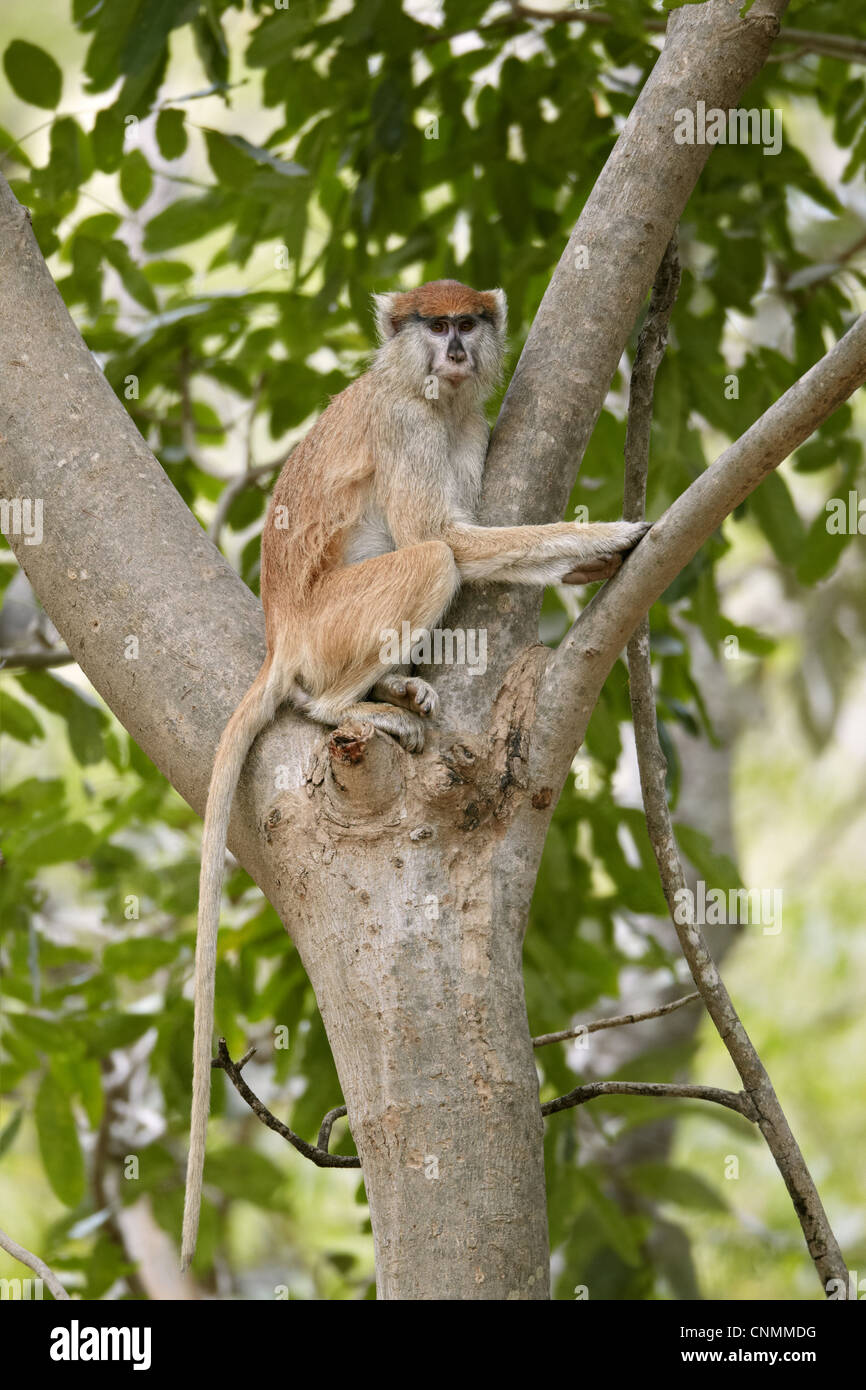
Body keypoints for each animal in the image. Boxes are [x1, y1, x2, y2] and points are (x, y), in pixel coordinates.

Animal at [180, 279, 649, 1268]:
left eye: (467, 321)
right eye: (434, 326)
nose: (458, 352)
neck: (424, 390)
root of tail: (282, 635)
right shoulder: (406, 427)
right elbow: (449, 537)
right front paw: (610, 536)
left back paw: (395, 688)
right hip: (334, 626)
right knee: (426, 558)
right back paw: (352, 706)